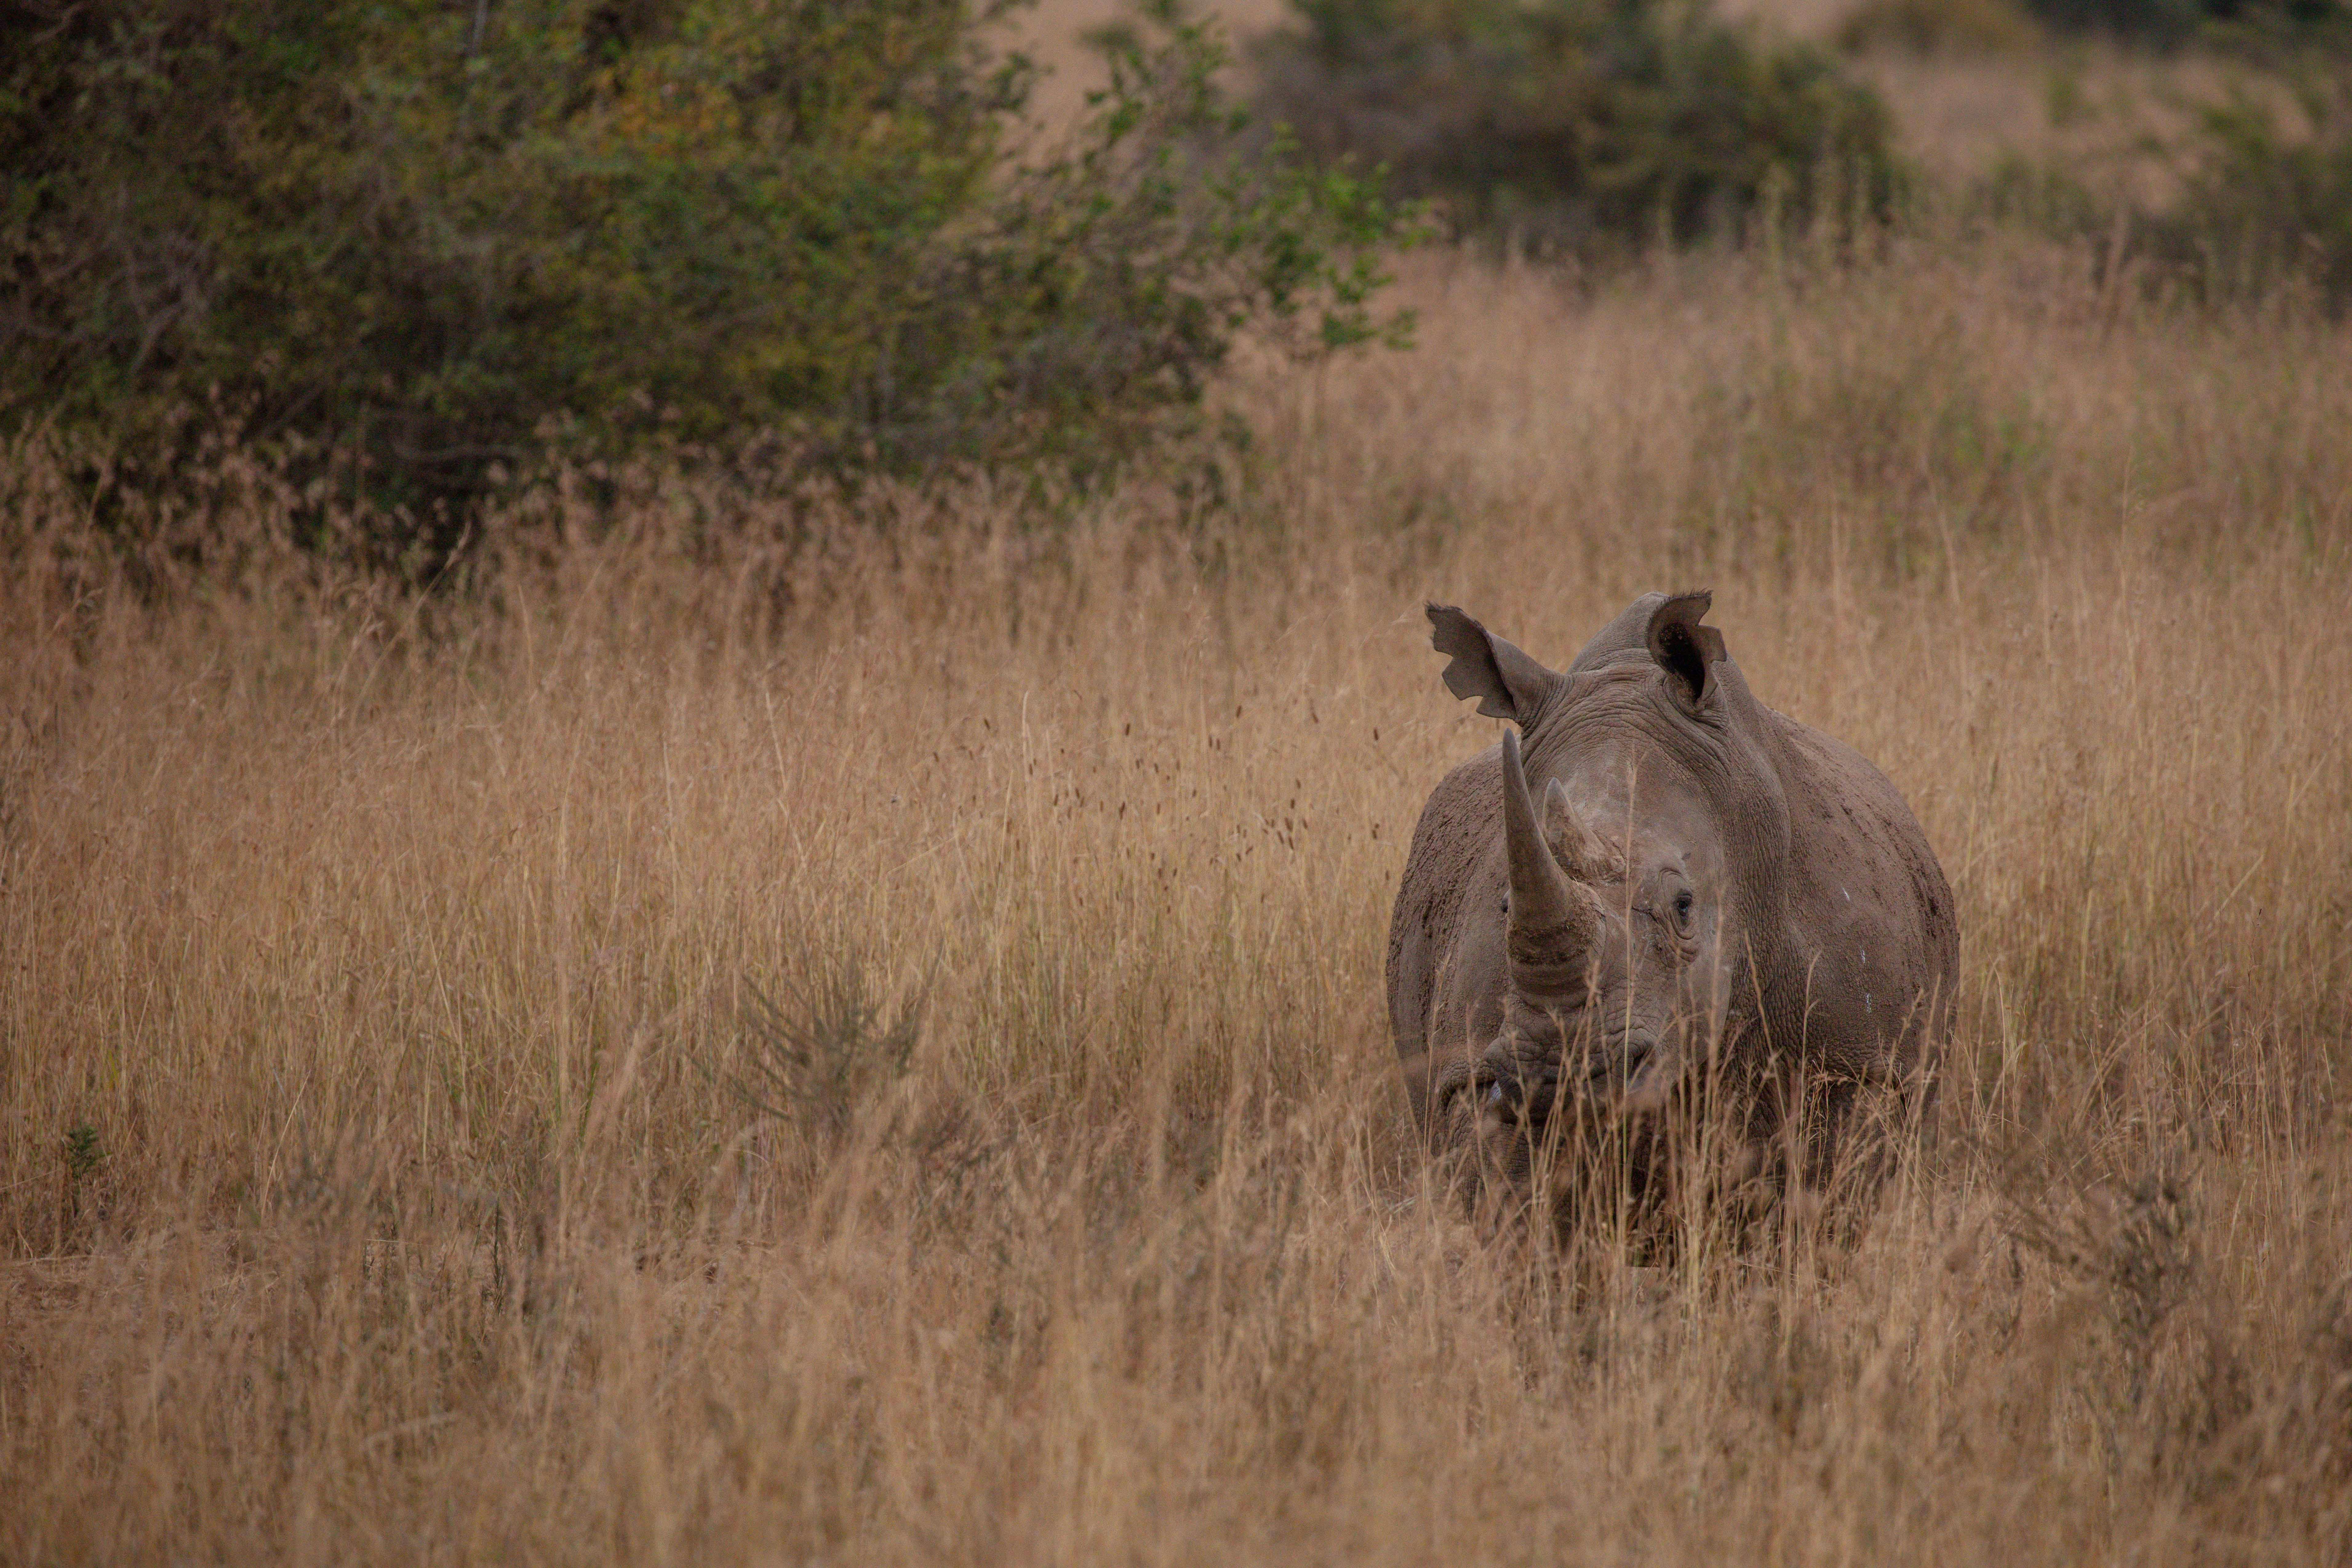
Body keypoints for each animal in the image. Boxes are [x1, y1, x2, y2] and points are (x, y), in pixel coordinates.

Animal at [1387, 592, 1958, 1219]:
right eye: (1506, 909)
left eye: (1684, 906)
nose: (1558, 1075)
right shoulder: (1472, 1075)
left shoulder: (1863, 1064)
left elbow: (1828, 1203)